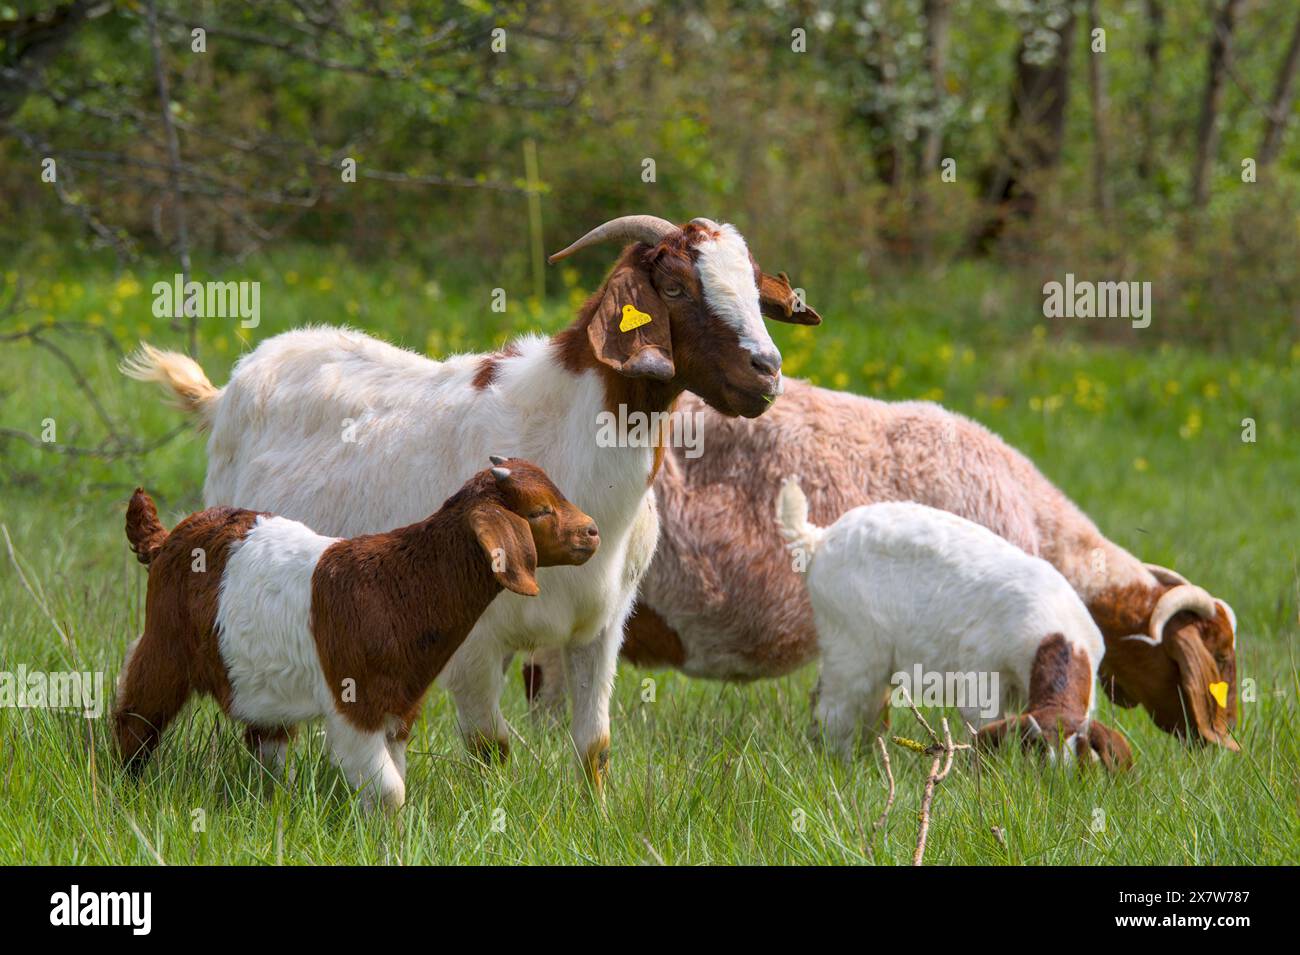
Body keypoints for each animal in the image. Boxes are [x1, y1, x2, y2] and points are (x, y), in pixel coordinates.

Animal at [114, 460, 598, 810]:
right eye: (540, 510)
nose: (592, 531)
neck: (400, 584)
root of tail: (168, 537)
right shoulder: (356, 705)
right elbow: (389, 791)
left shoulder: (400, 708)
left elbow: (394, 778)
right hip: (163, 646)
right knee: (135, 715)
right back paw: (125, 788)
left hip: (257, 682)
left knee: (266, 742)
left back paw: (273, 803)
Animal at [776, 478, 1132, 769]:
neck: (1057, 635)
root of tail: (818, 540)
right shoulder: (982, 671)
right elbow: (981, 722)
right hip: (852, 643)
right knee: (836, 709)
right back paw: (841, 763)